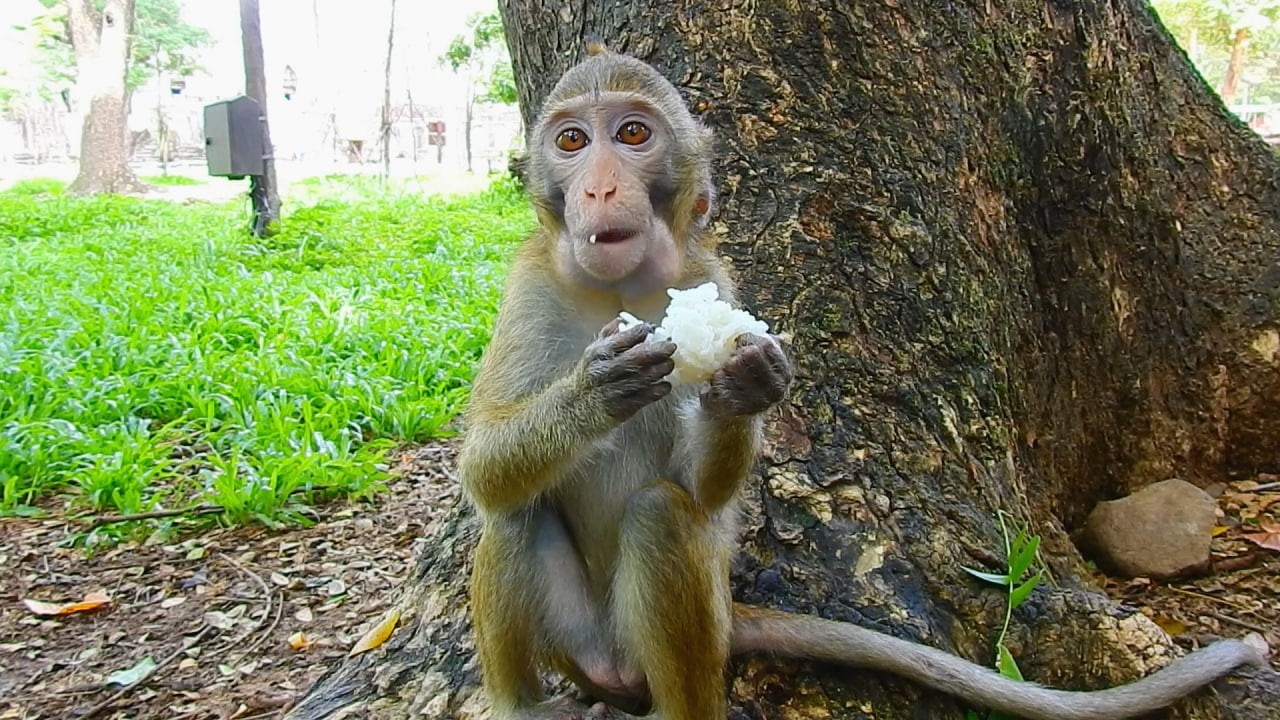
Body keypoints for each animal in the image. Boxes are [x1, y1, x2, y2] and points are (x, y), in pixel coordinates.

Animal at [456, 43, 1268, 720]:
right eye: (571, 141)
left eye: (630, 135)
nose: (596, 191)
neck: (616, 290)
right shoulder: (528, 284)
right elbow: (484, 468)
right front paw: (598, 389)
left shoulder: (715, 274)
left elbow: (704, 495)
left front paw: (750, 383)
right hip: (581, 648)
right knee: (515, 510)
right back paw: (523, 707)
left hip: (679, 636)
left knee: (661, 515)